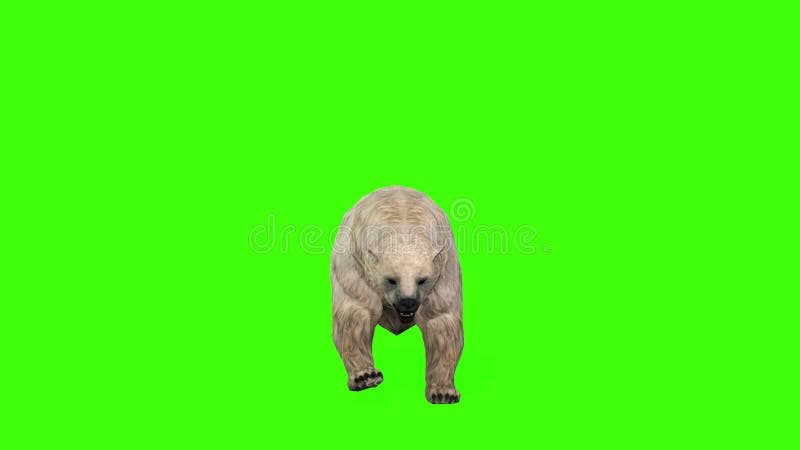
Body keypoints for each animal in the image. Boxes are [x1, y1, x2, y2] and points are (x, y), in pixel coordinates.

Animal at [331, 186, 463, 404]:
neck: (402, 220)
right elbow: (357, 312)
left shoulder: (445, 267)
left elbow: (440, 322)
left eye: (422, 279)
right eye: (391, 279)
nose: (407, 302)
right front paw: (366, 376)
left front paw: (443, 393)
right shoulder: (354, 261)